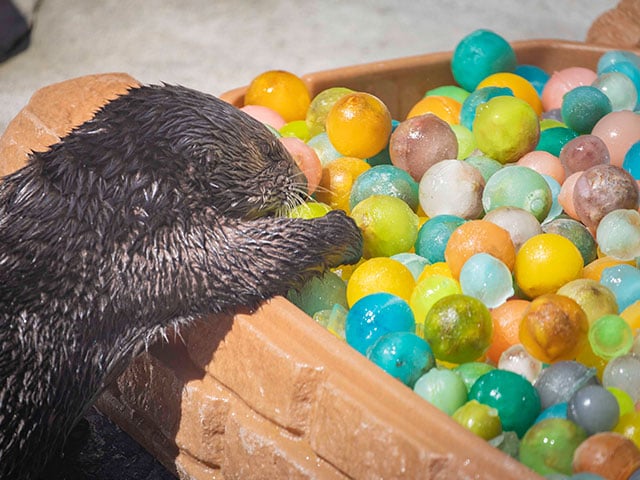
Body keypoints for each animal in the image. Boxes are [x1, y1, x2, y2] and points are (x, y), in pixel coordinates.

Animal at [0, 84, 363, 479]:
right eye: (269, 151)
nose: (301, 178)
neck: (103, 192)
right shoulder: (152, 244)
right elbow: (240, 254)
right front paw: (342, 231)